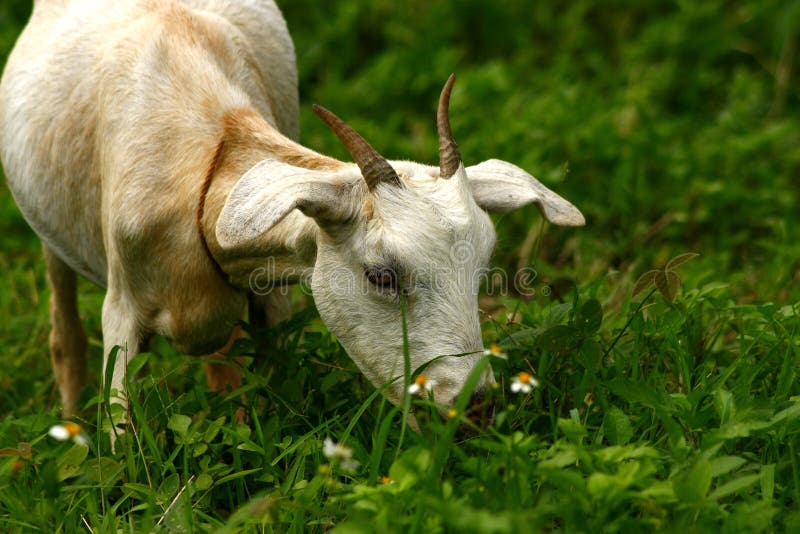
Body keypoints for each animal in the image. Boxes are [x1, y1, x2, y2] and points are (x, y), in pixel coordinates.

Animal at [0, 0, 584, 421]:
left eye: (482, 270)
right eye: (382, 275)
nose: (473, 404)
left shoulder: (270, 299)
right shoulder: (121, 312)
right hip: (53, 242)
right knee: (65, 335)